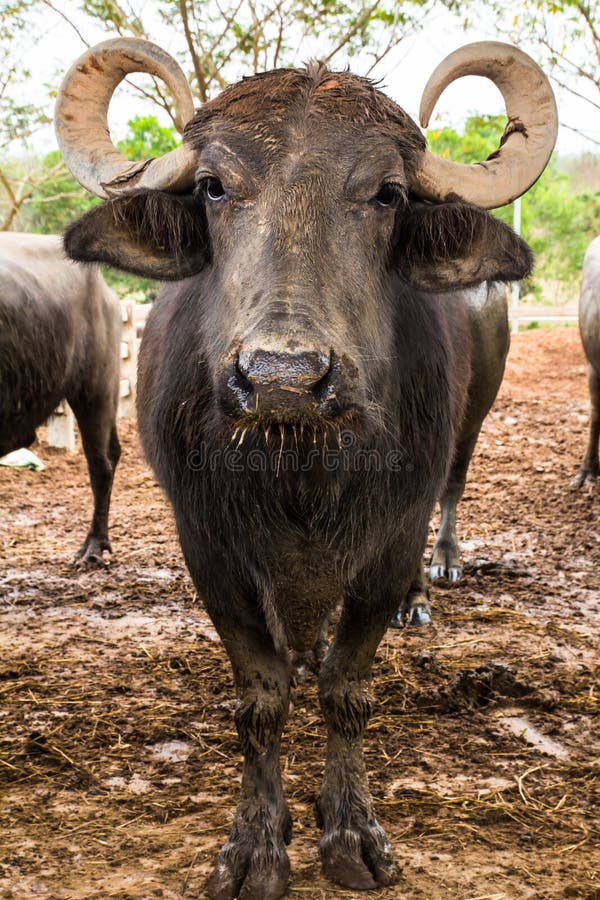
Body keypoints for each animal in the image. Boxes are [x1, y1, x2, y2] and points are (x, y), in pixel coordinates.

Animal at [56, 38, 557, 897]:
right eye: (215, 186)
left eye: (388, 193)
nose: (282, 377)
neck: (299, 466)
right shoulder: (209, 547)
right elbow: (261, 699)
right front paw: (256, 846)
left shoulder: (391, 535)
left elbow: (347, 690)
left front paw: (352, 833)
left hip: (469, 429)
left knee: (454, 491)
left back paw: (432, 587)